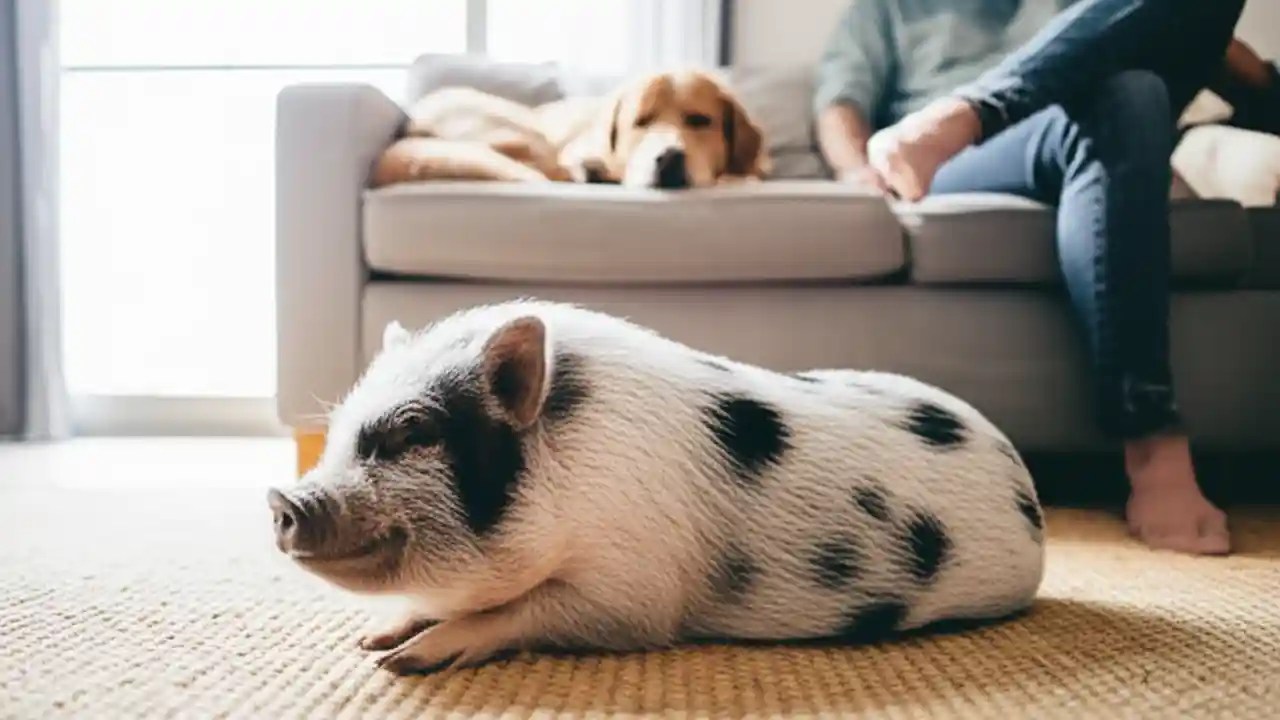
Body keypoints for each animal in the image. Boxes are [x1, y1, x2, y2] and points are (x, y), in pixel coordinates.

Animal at [268, 300, 1045, 675]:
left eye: (414, 432)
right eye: (339, 429)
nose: (282, 500)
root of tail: (1023, 476)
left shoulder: (632, 593)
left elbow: (530, 612)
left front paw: (402, 664)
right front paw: (372, 640)